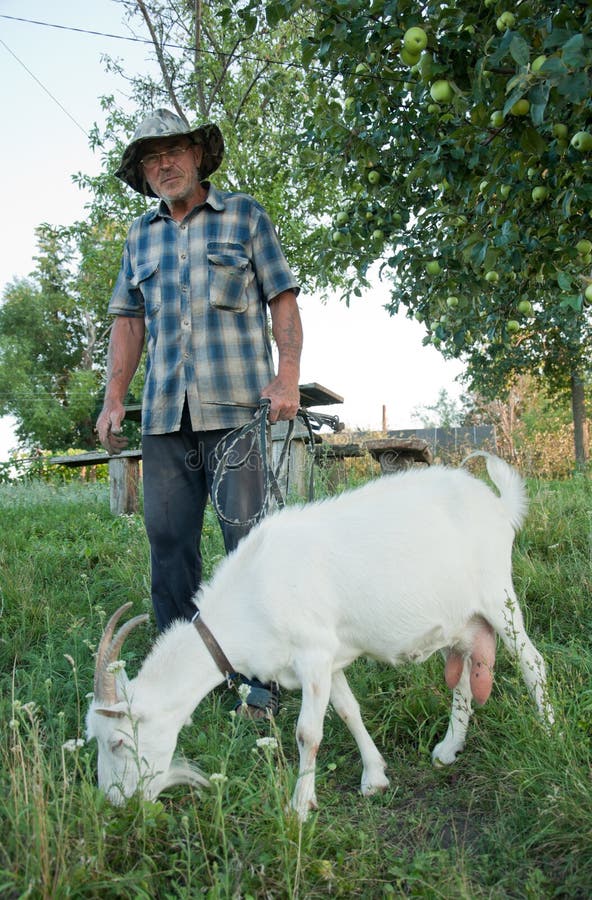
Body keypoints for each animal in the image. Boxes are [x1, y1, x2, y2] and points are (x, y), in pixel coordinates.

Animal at [86, 453, 553, 820]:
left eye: (118, 741)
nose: (115, 804)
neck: (251, 596)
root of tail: (498, 506)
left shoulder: (313, 653)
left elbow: (308, 734)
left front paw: (299, 806)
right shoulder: (330, 658)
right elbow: (348, 712)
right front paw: (374, 777)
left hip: (497, 596)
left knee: (532, 662)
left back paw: (550, 732)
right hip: (462, 620)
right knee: (463, 675)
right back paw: (448, 748)